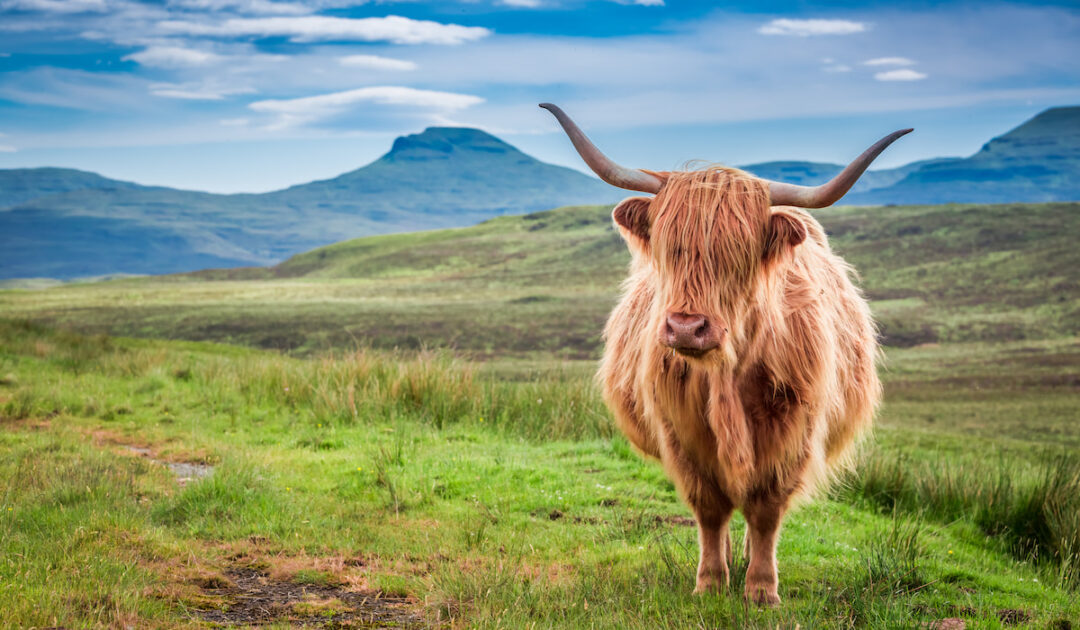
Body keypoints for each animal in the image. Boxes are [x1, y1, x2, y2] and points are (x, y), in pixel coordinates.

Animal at [540, 103, 910, 606]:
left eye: (738, 253)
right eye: (669, 248)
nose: (686, 327)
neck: (726, 375)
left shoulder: (792, 434)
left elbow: (766, 511)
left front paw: (762, 589)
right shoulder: (680, 434)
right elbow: (711, 509)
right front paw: (712, 582)